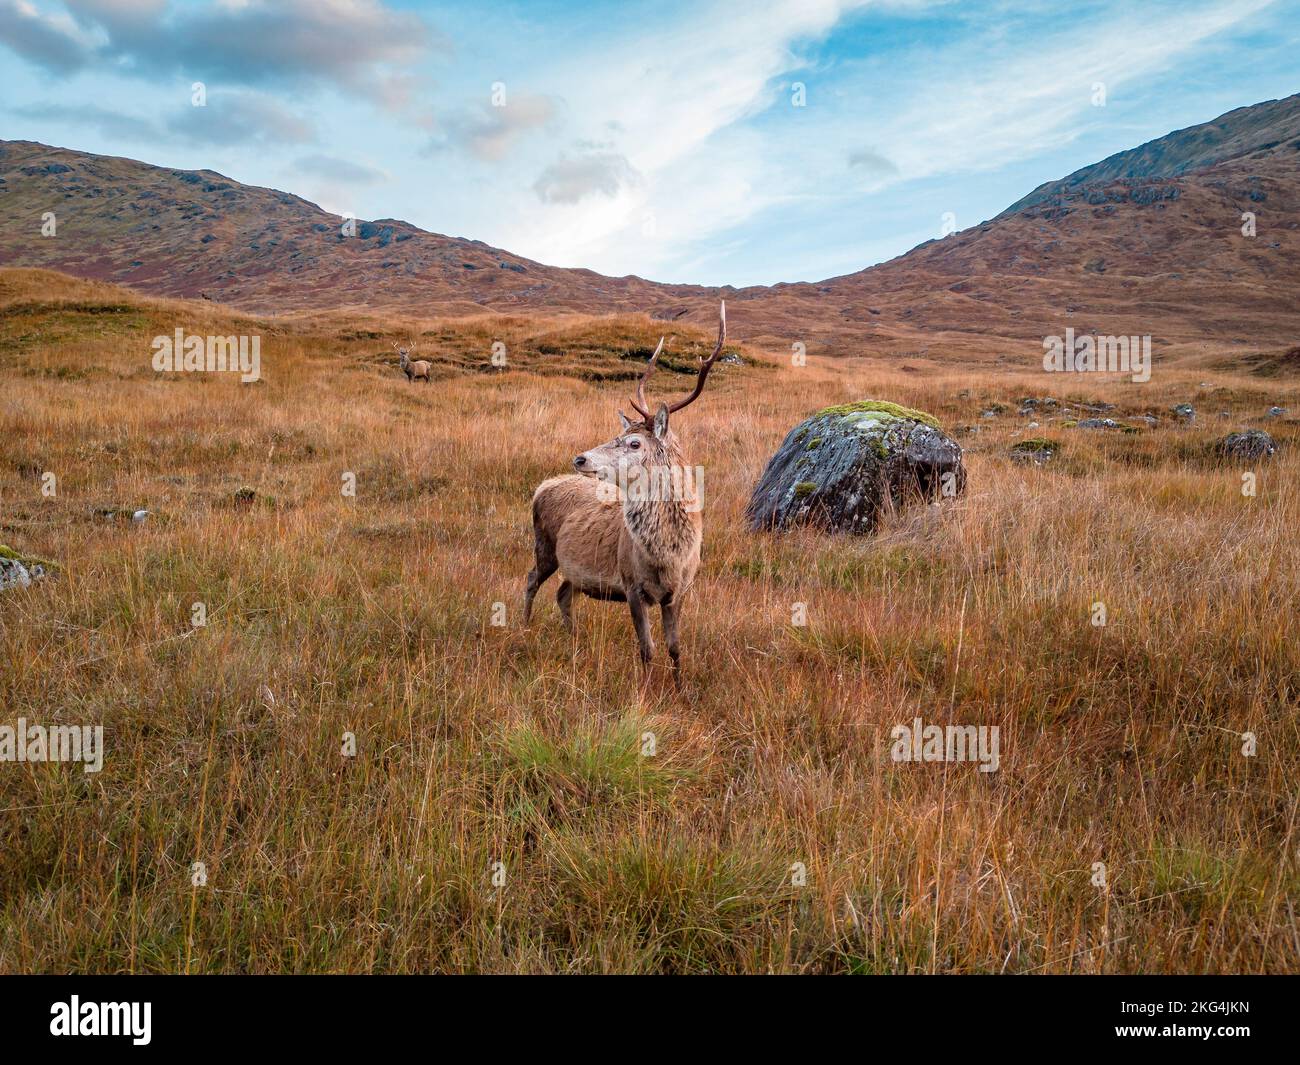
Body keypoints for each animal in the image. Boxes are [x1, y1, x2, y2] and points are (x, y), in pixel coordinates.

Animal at [524, 302, 726, 683]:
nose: (580, 457)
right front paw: (645, 690)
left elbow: (675, 648)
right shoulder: (631, 585)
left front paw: (680, 688)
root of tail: (542, 486)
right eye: (619, 435)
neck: (667, 557)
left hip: (572, 568)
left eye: (634, 443)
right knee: (531, 580)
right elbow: (647, 649)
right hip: (544, 546)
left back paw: (575, 639)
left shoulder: (680, 592)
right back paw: (523, 627)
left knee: (563, 593)